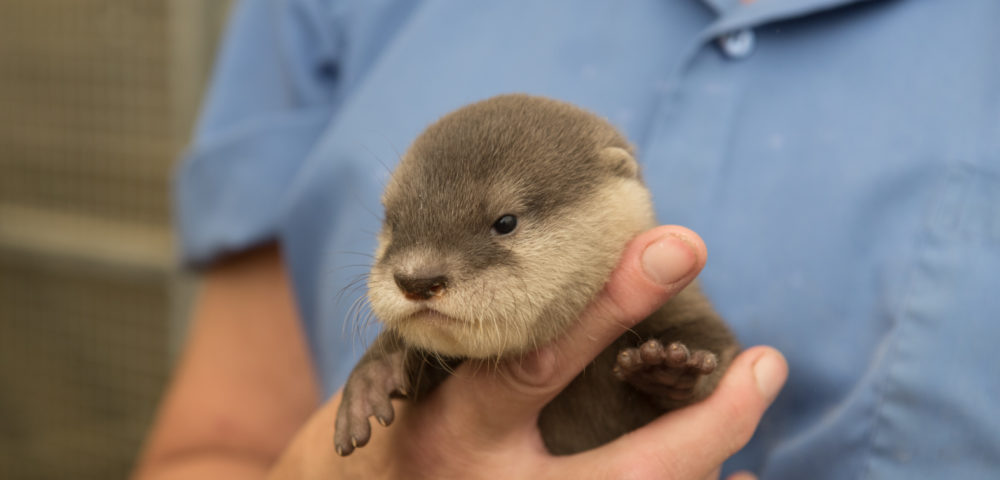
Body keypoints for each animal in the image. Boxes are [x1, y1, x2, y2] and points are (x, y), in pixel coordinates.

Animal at [334, 94, 738, 456]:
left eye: (505, 222)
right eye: (393, 221)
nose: (417, 280)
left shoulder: (686, 305)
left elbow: (714, 348)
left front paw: (670, 366)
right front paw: (375, 372)